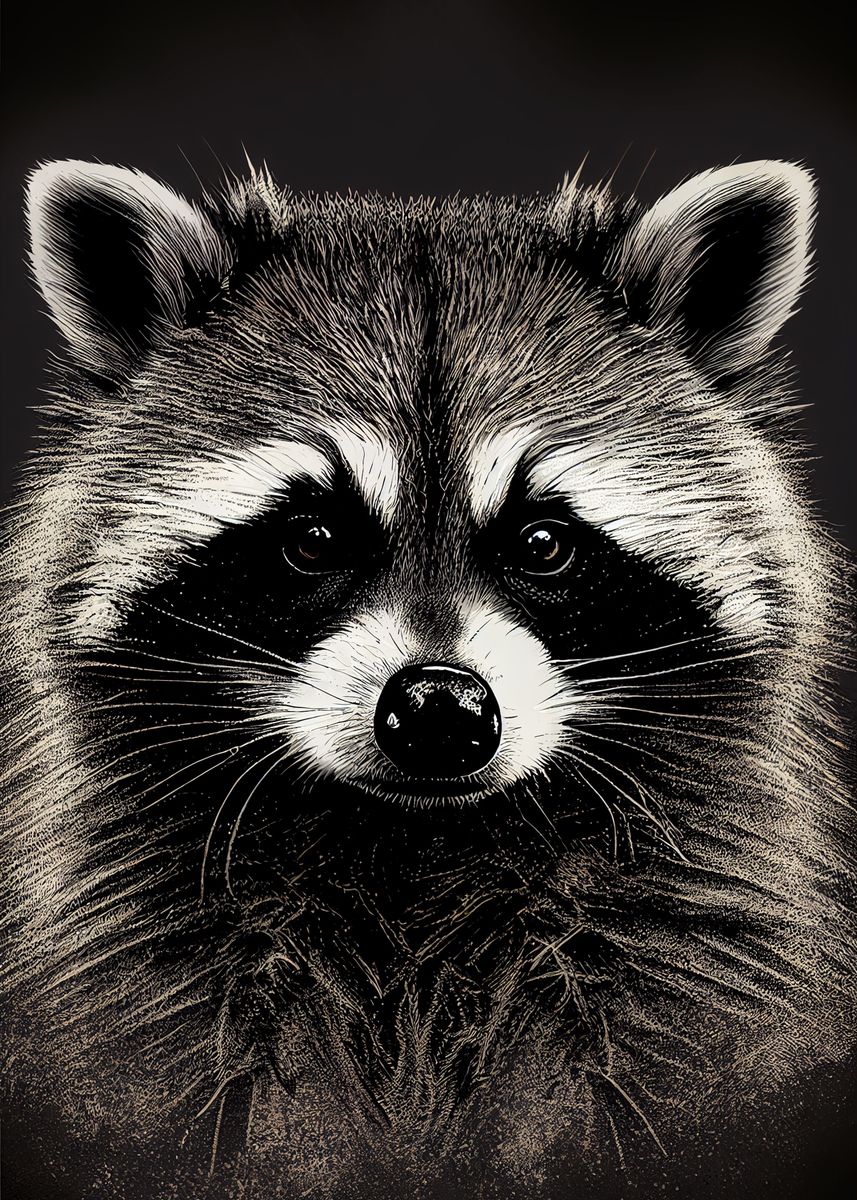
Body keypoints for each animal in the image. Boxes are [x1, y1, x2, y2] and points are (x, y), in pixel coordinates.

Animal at [1, 157, 854, 1199]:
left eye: (543, 542)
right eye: (311, 538)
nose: (441, 710)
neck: (418, 846)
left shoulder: (682, 931)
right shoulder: (154, 940)